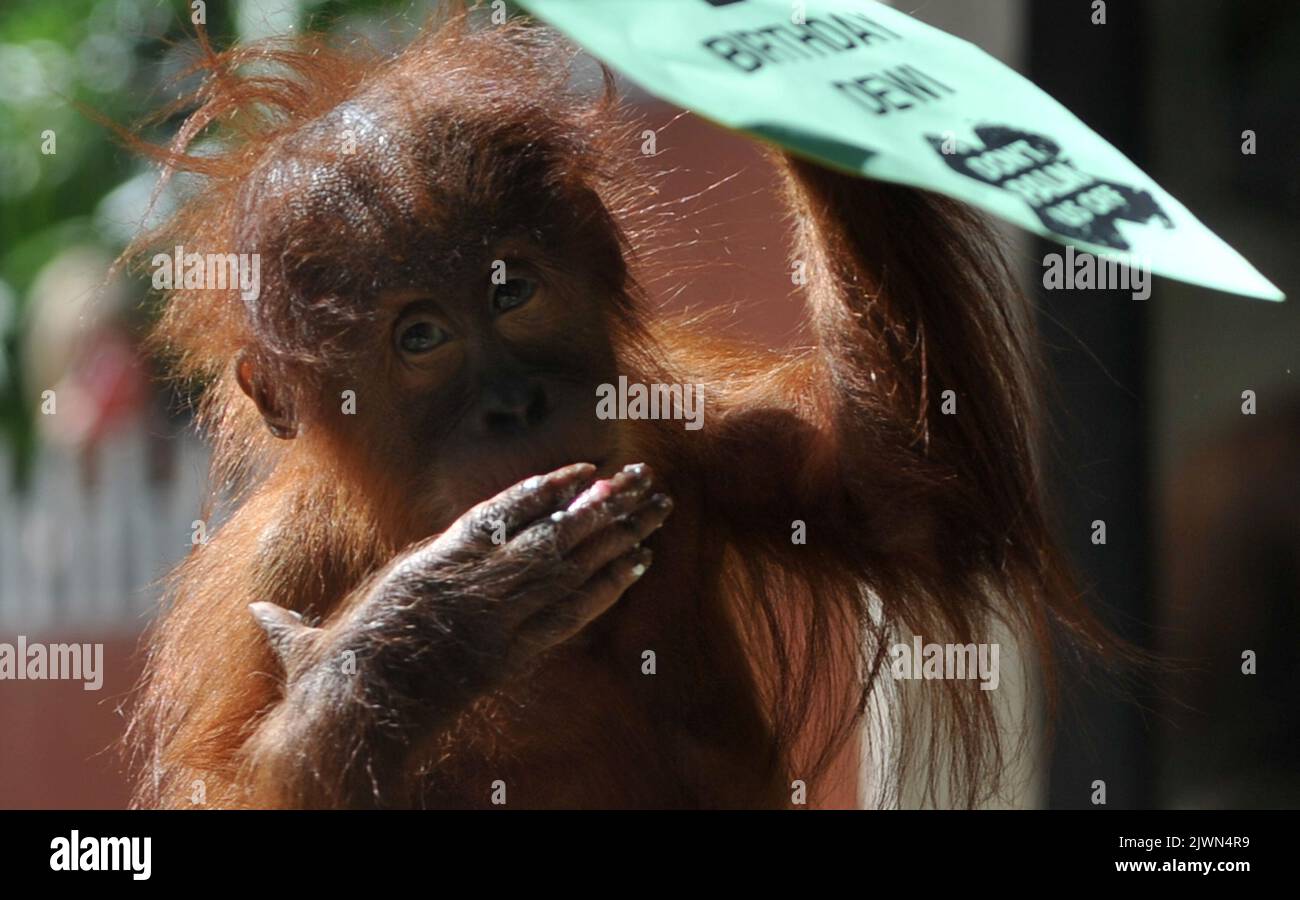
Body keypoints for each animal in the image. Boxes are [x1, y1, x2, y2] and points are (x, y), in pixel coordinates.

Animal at [121, 11, 1110, 809]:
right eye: (420, 337)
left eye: (511, 290)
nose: (516, 404)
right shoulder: (268, 578)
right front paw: (427, 627)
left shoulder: (688, 427)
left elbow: (908, 502)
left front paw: (796, 86)